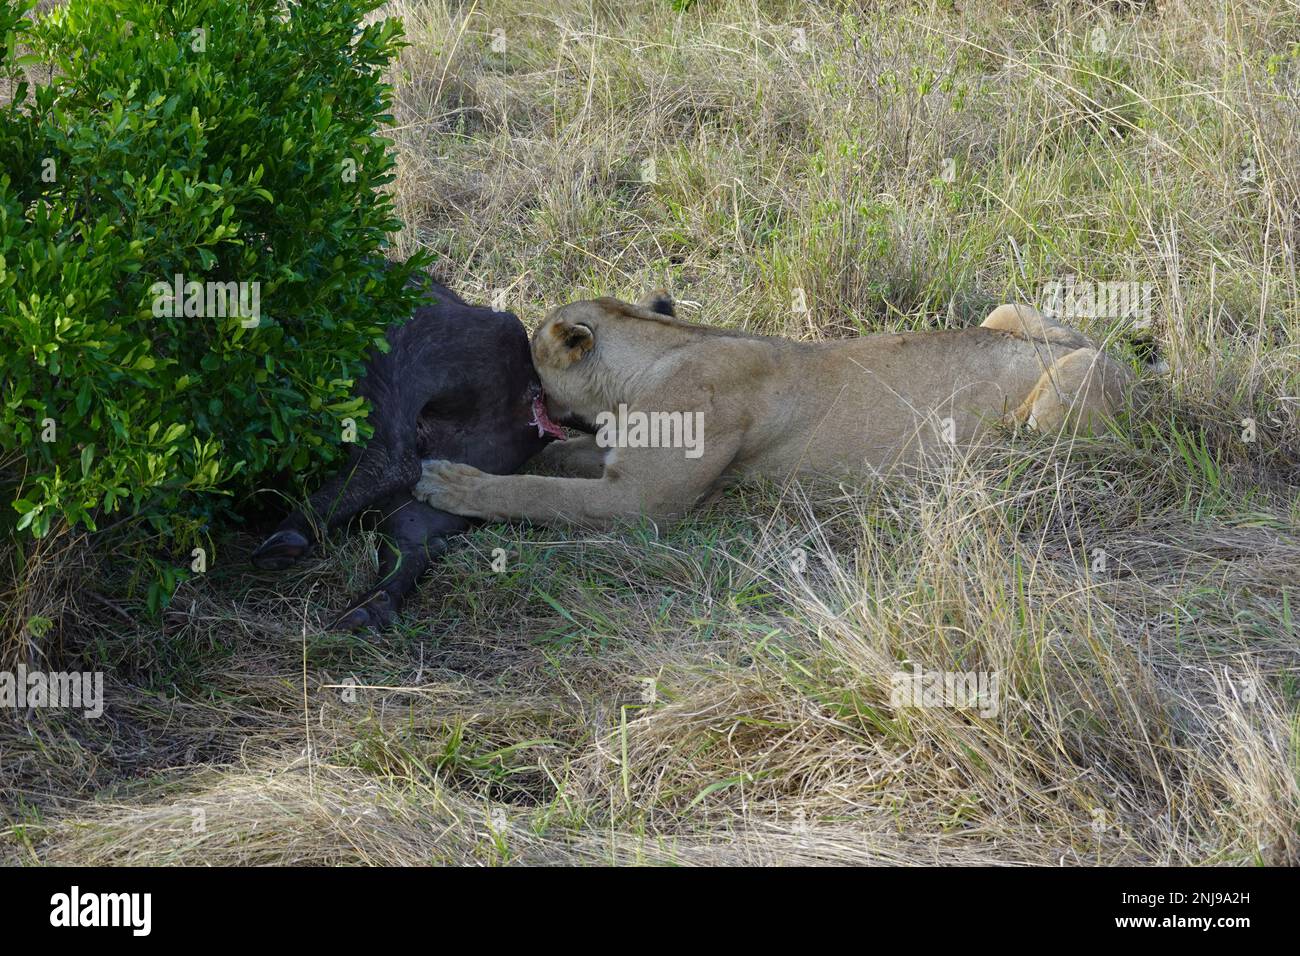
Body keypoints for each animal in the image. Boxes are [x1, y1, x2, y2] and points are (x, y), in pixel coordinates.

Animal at [412, 294, 1133, 528]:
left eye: (531, 358)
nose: (528, 397)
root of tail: (1108, 350)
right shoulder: (618, 454)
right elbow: (561, 458)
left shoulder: (642, 503)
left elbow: (541, 493)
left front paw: (452, 484)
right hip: (1011, 314)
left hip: (1063, 395)